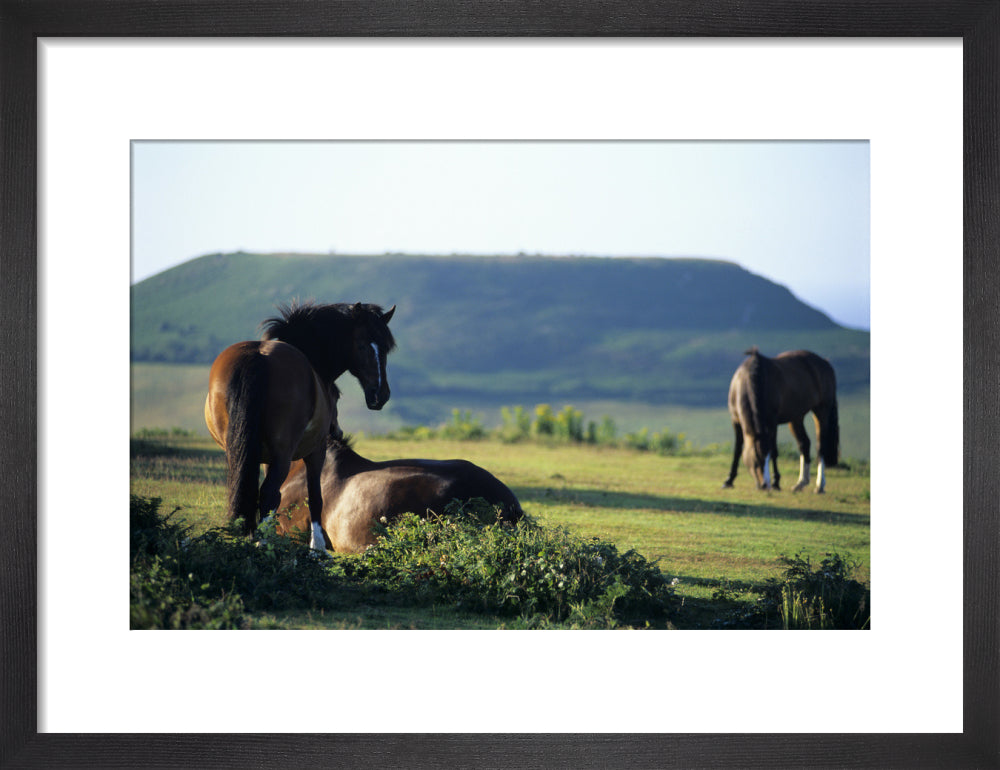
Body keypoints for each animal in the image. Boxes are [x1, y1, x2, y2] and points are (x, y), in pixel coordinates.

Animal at [204, 301, 396, 549]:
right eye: (362, 346)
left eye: (385, 349)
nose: (380, 395)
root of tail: (259, 357)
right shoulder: (316, 450)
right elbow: (315, 497)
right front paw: (317, 546)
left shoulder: (264, 458)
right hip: (284, 453)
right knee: (267, 493)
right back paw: (264, 545)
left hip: (238, 451)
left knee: (249, 491)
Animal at [723, 347, 839, 493]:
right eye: (756, 459)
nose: (764, 485)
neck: (751, 379)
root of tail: (825, 363)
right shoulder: (736, 421)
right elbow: (738, 450)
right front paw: (729, 480)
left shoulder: (772, 423)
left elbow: (774, 451)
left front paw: (776, 482)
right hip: (796, 417)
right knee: (804, 443)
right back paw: (801, 483)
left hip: (821, 410)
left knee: (820, 446)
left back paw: (819, 485)